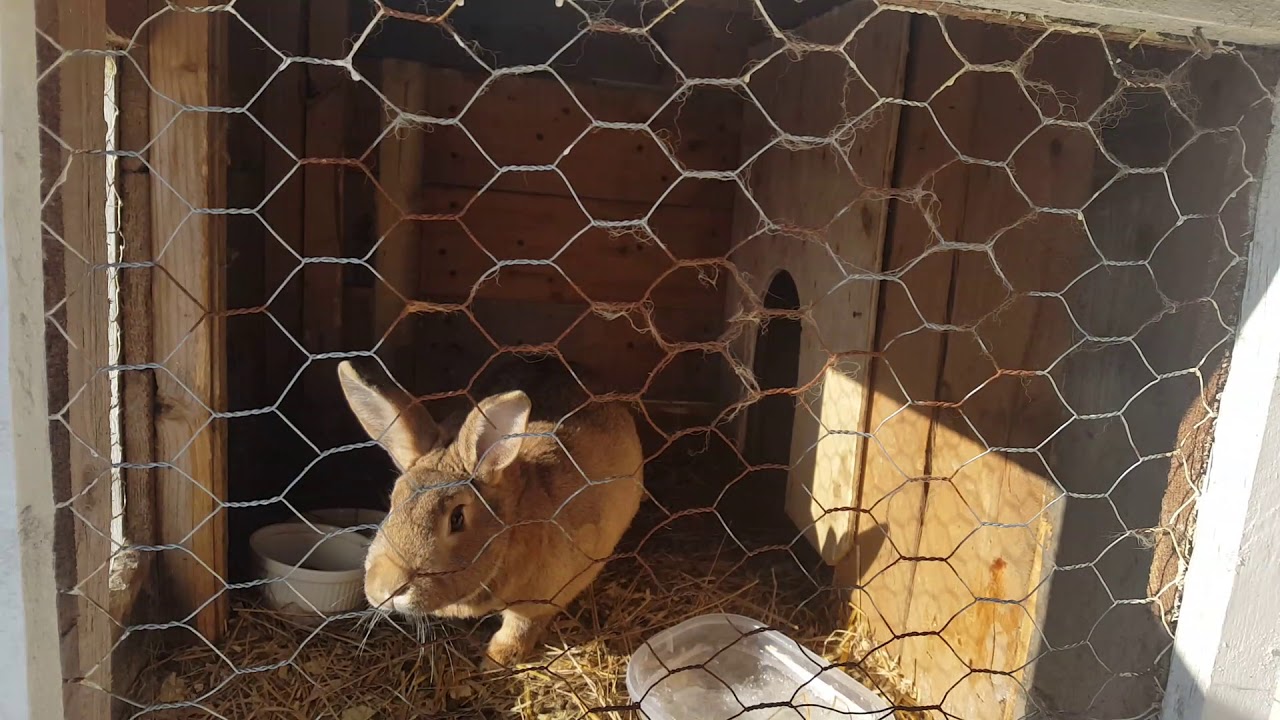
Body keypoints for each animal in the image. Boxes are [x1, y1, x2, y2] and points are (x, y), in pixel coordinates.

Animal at [336, 354, 645, 668]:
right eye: (392, 501)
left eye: (457, 518)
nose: (385, 588)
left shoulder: (543, 599)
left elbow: (520, 627)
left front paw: (495, 661)